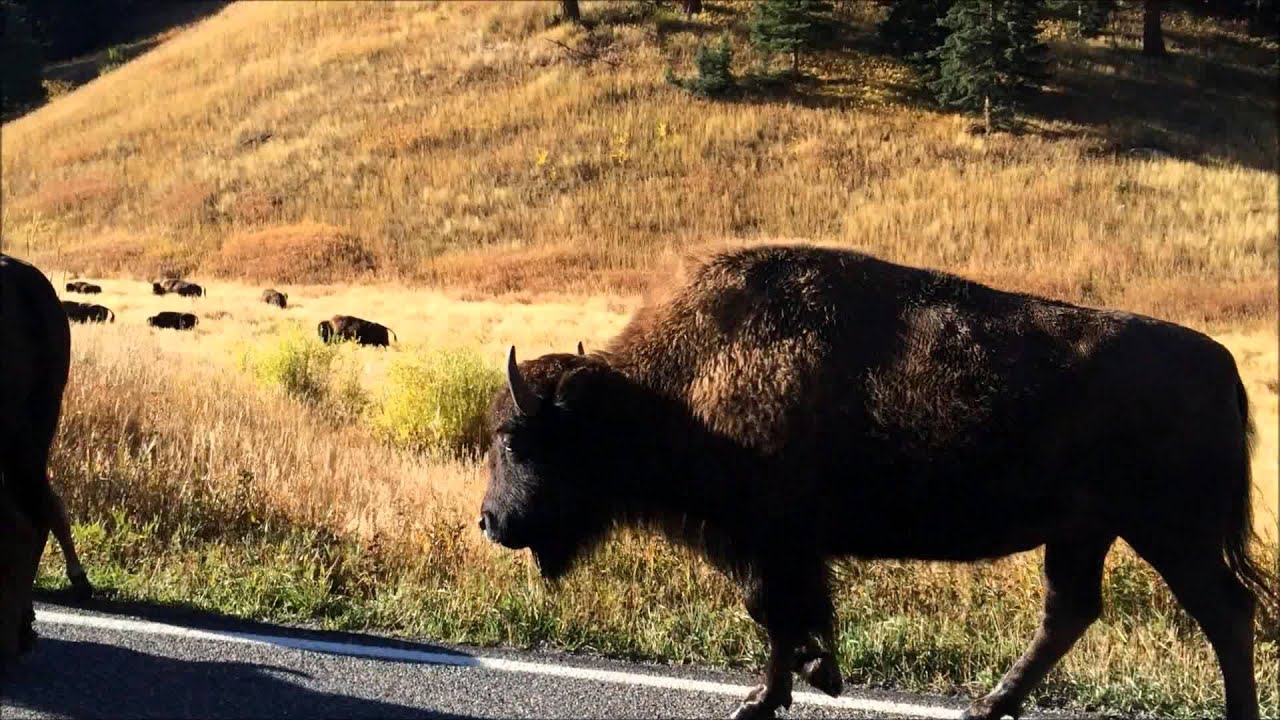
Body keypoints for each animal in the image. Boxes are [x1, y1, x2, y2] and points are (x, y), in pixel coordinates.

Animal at [480, 244, 1274, 720]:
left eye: (515, 438)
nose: (489, 521)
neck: (664, 394)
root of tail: (1223, 367)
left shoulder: (772, 541)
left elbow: (773, 613)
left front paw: (784, 688)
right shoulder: (780, 547)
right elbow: (782, 616)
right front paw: (795, 682)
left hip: (1171, 535)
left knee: (1225, 614)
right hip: (1085, 534)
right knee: (1070, 613)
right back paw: (987, 706)